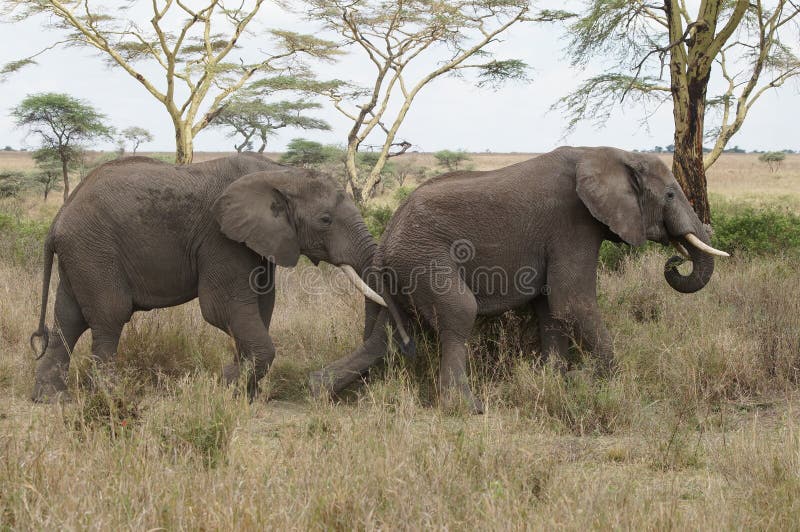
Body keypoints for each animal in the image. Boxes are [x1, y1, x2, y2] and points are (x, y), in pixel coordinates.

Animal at [30, 153, 385, 402]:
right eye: (325, 220)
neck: (280, 171)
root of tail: (58, 219)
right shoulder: (220, 239)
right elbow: (223, 308)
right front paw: (228, 386)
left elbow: (261, 306)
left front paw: (244, 393)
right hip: (95, 250)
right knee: (109, 316)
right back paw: (110, 397)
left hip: (81, 254)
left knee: (68, 319)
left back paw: (51, 399)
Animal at [309, 146, 730, 413]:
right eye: (671, 194)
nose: (675, 261)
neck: (611, 152)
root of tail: (389, 233)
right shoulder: (572, 223)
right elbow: (571, 301)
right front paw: (609, 382)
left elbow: (550, 308)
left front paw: (555, 380)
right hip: (424, 257)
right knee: (459, 312)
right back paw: (467, 408)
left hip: (399, 272)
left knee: (385, 337)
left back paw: (320, 391)